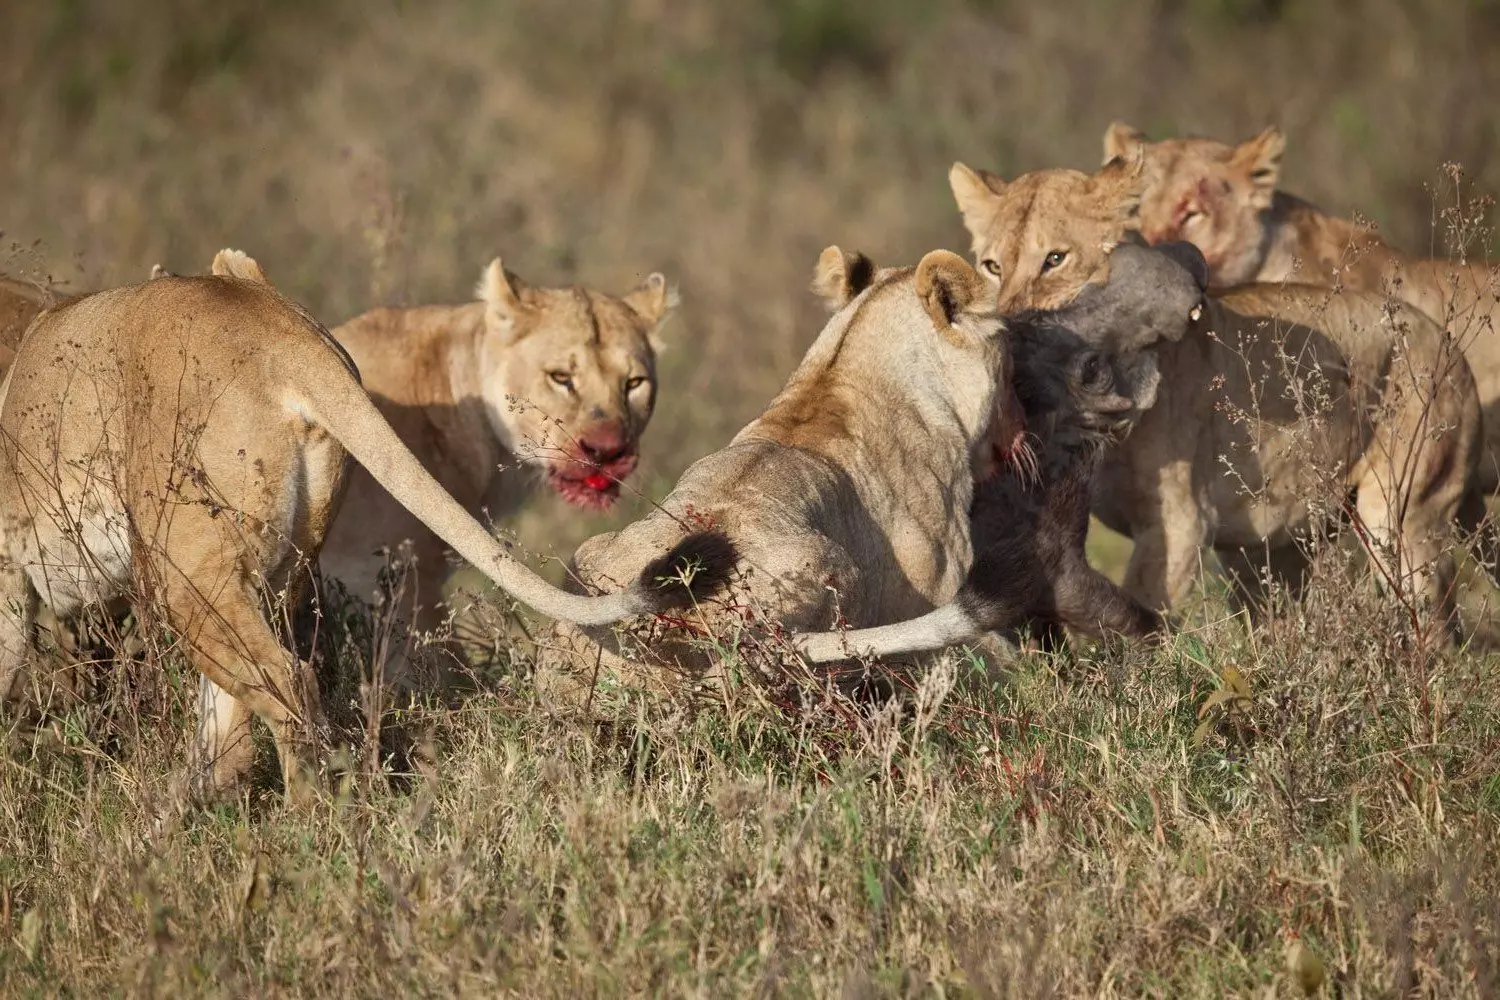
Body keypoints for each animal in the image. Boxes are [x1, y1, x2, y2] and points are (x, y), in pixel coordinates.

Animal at [948, 160, 1476, 638]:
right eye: (992, 266)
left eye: (1055, 259)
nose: (1013, 332)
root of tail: (1448, 341)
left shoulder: (1179, 527)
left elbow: (1140, 617)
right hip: (1278, 547)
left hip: (1404, 519)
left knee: (1436, 623)